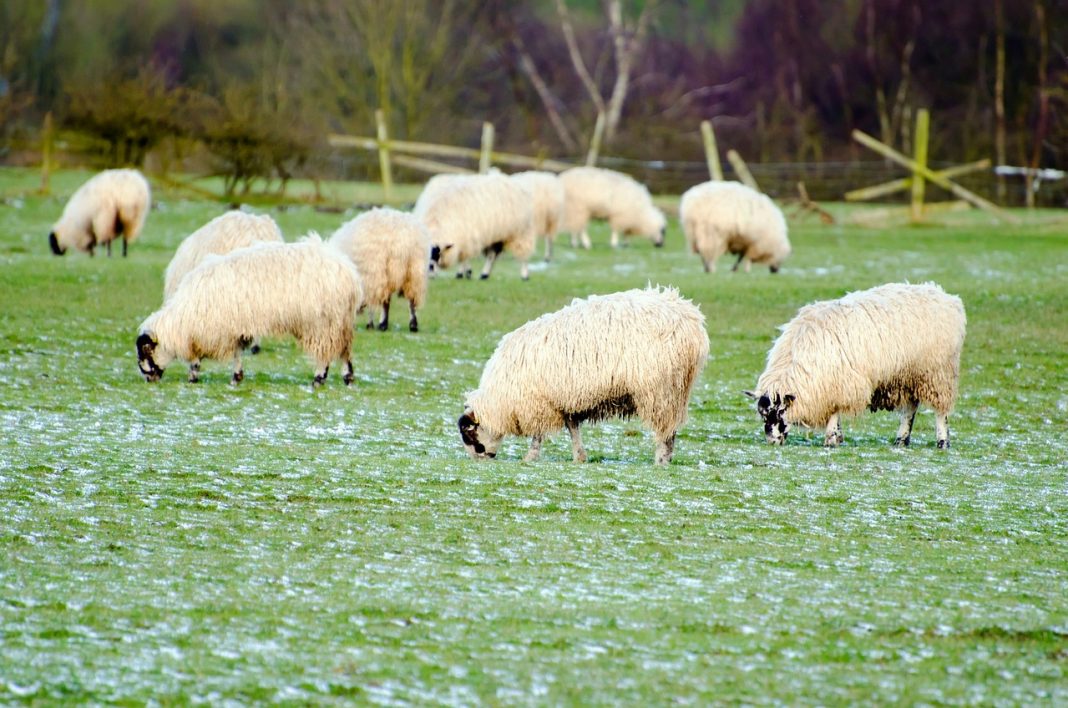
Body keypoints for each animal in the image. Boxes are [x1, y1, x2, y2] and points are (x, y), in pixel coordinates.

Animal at [136, 235, 362, 387]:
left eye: (145, 354)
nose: (148, 379)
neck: (182, 319)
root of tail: (348, 271)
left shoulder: (212, 331)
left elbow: (197, 359)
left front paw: (193, 376)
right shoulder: (235, 329)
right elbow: (237, 353)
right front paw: (236, 377)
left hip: (322, 323)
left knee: (326, 354)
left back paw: (318, 378)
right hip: (338, 322)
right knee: (345, 351)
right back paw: (347, 377)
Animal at [459, 286, 709, 465]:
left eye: (470, 437)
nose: (478, 461)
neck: (499, 400)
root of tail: (692, 321)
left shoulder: (538, 403)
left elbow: (539, 435)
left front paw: (530, 457)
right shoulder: (565, 401)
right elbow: (573, 429)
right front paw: (579, 457)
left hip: (661, 389)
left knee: (666, 430)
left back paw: (661, 460)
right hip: (675, 390)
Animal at [746, 282, 966, 449]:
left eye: (780, 412)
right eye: (763, 414)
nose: (771, 441)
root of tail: (948, 298)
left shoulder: (841, 384)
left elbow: (834, 413)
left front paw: (831, 439)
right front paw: (838, 437)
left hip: (938, 374)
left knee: (941, 412)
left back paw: (942, 441)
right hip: (909, 375)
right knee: (910, 409)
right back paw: (901, 440)